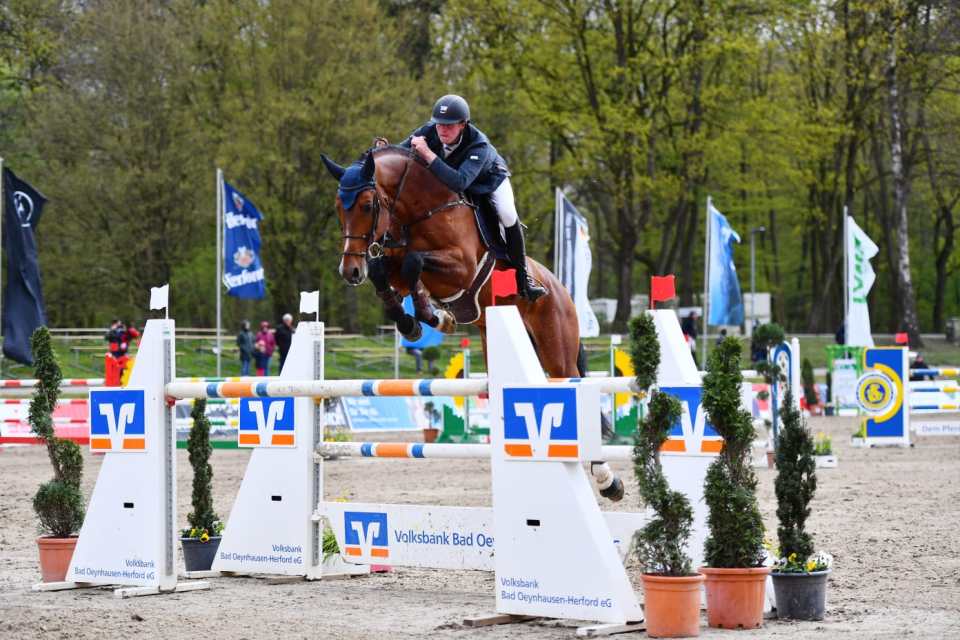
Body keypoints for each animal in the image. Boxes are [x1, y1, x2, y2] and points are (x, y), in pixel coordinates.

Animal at [322, 146, 623, 501]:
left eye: (368, 205)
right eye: (338, 208)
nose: (349, 271)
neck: (421, 210)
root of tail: (561, 288)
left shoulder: (461, 267)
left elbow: (414, 262)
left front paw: (433, 317)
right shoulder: (394, 262)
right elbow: (388, 273)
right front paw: (418, 321)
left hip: (558, 353)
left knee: (572, 384)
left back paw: (607, 480)